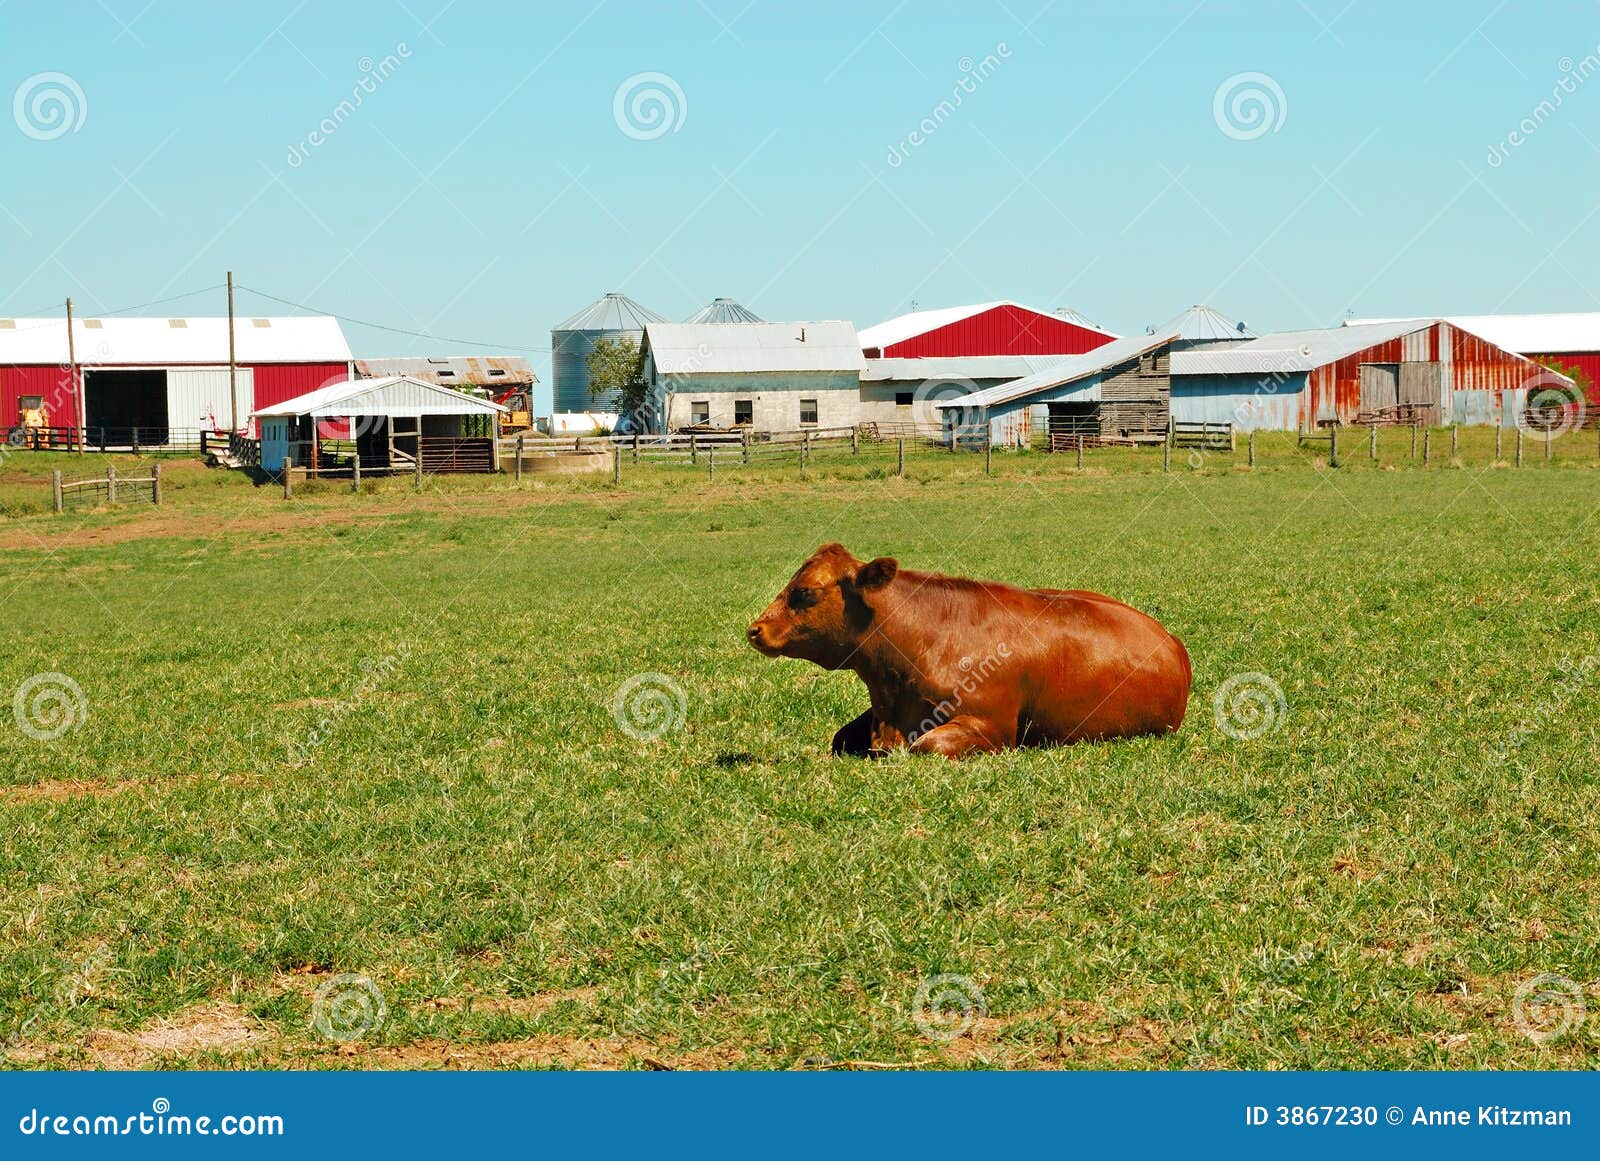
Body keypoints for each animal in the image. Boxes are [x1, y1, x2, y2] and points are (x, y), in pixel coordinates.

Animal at [746, 543, 1191, 760]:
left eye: (806, 592)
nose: (755, 629)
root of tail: (1172, 642)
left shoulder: (992, 728)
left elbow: (926, 746)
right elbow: (840, 738)